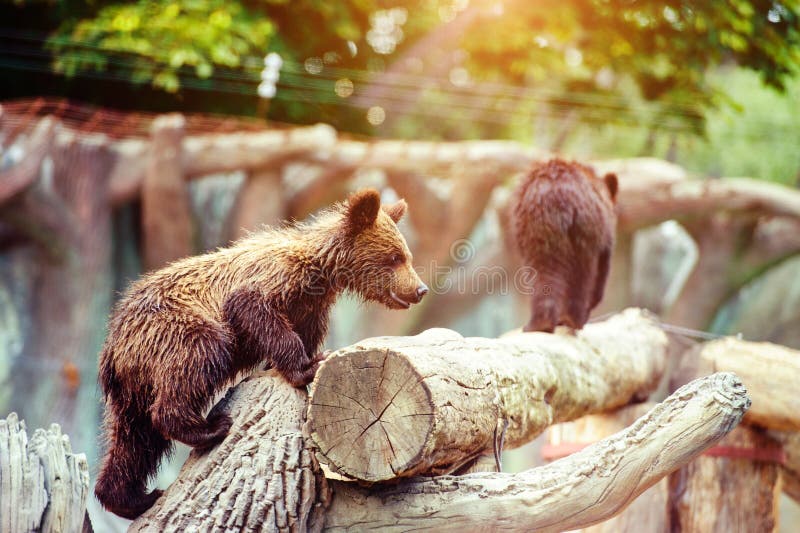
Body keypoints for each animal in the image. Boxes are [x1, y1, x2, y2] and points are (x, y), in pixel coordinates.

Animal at [94, 189, 428, 519]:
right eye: (395, 257)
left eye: (407, 255)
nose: (420, 289)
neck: (322, 273)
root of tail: (114, 344)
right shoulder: (269, 283)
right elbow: (256, 311)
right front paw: (308, 365)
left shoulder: (310, 309)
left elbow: (301, 335)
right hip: (176, 329)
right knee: (196, 361)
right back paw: (208, 428)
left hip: (133, 384)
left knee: (134, 441)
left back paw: (131, 498)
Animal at [510, 159, 617, 333]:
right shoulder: (605, 234)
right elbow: (601, 270)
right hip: (581, 230)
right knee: (581, 274)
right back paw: (570, 319)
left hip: (536, 230)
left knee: (544, 271)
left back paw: (540, 324)